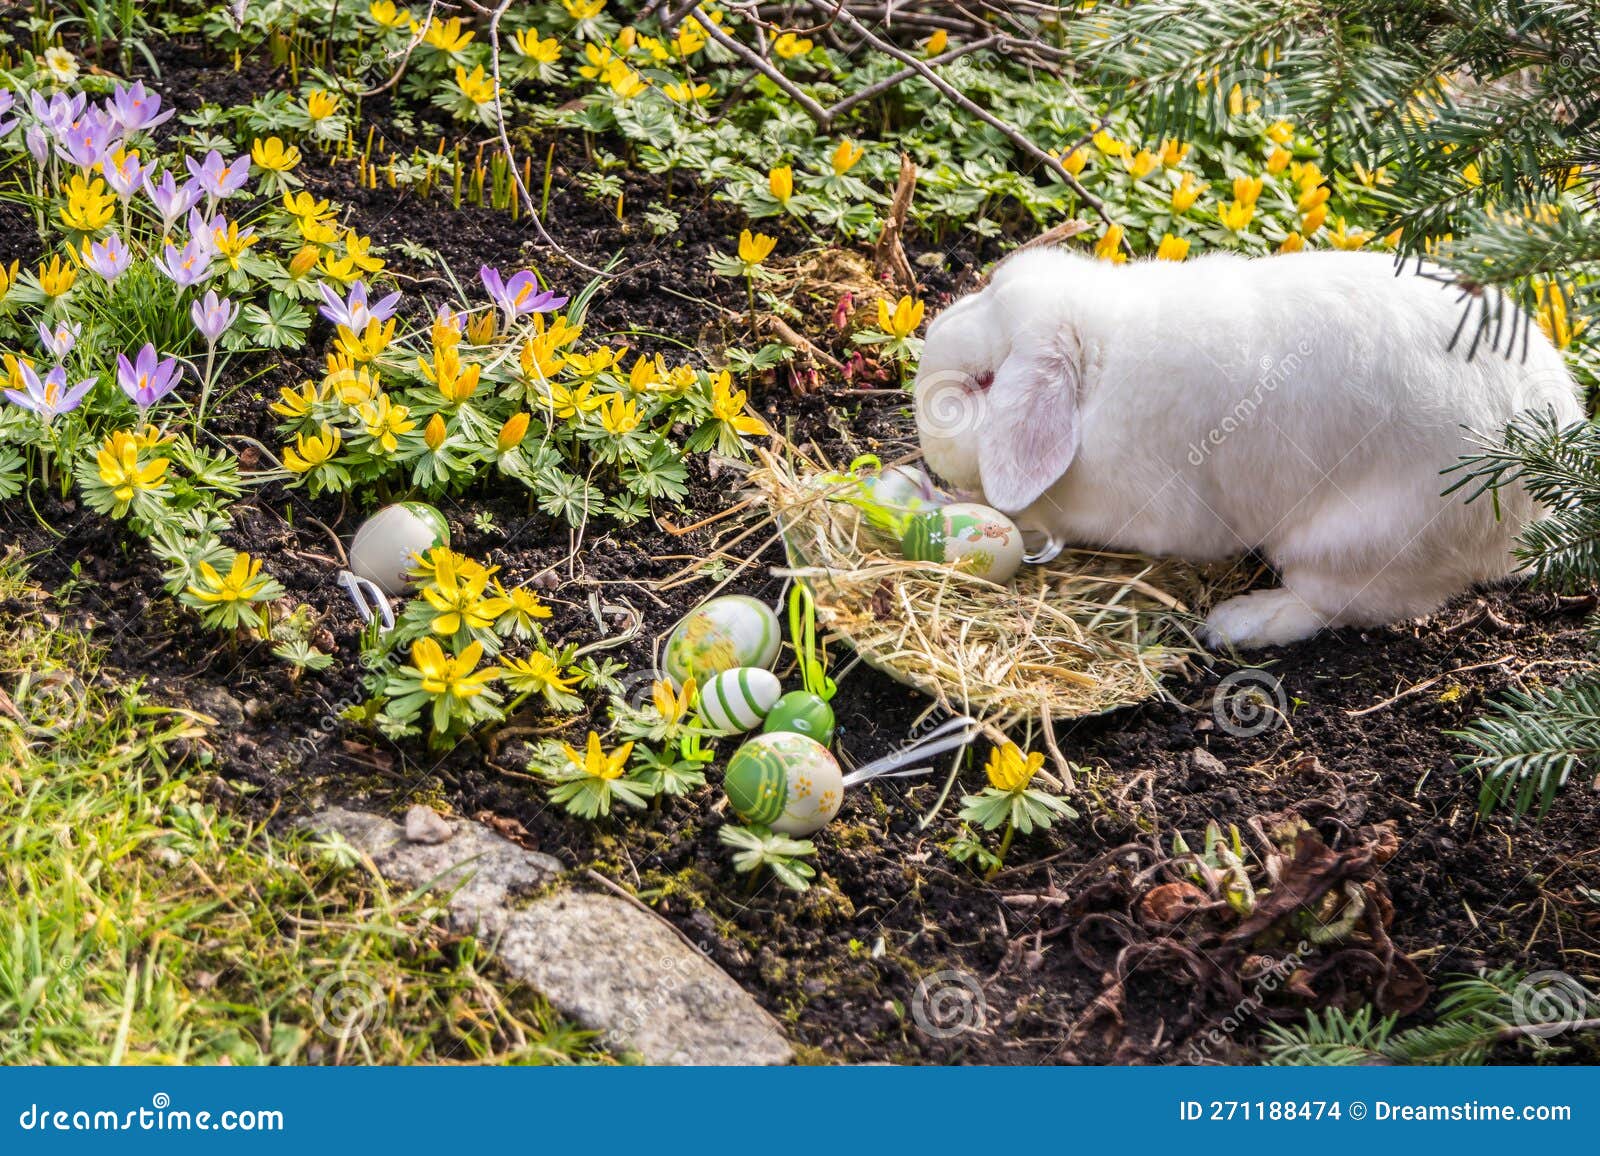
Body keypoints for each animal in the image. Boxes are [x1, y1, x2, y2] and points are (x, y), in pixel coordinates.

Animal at [913, 246, 1583, 649]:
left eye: (984, 381)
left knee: (1337, 605)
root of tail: (1532, 506)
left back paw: (1239, 623)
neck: (1096, 365)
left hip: (1357, 542)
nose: (925, 435)